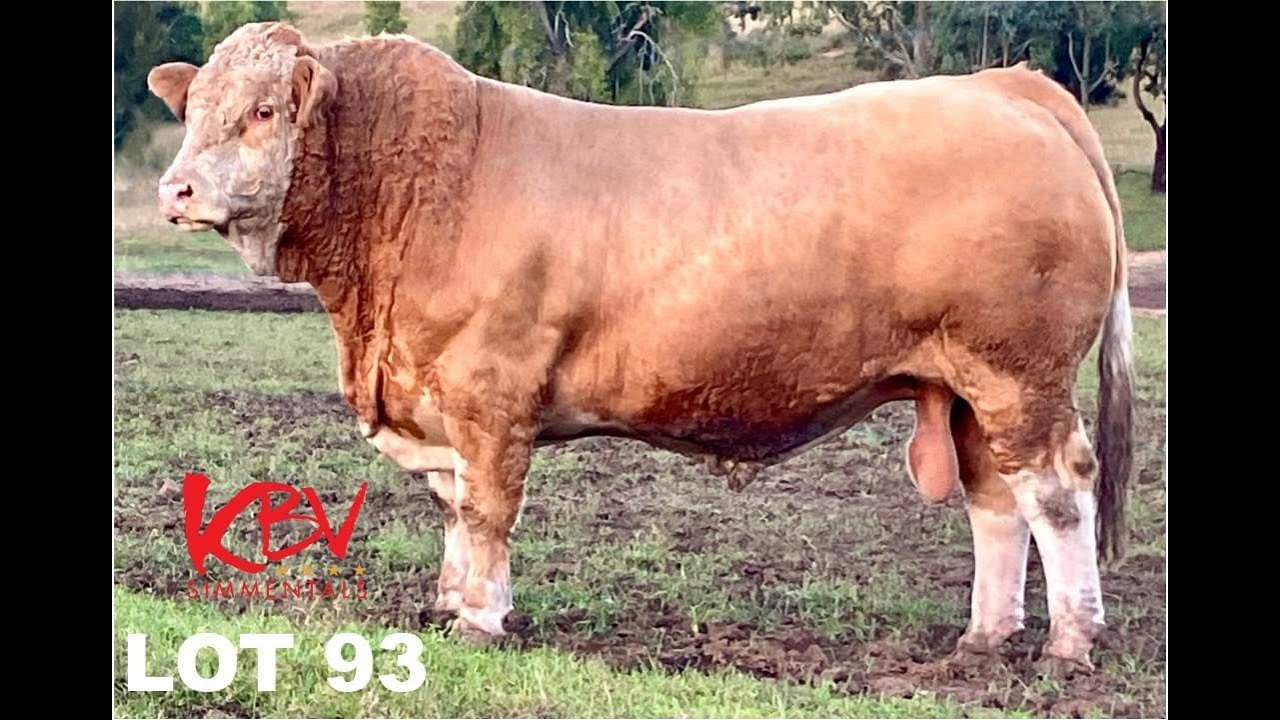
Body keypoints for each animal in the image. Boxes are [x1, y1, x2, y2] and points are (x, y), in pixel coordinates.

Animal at [147, 22, 1135, 674]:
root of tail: (1004, 86)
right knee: (995, 501)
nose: (175, 189)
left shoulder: (491, 391)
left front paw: (482, 620)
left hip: (1019, 374)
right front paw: (445, 603)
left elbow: (487, 511)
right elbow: (455, 510)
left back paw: (1070, 643)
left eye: (263, 111)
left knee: (1057, 493)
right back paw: (985, 638)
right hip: (967, 388)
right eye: (194, 110)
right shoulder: (436, 398)